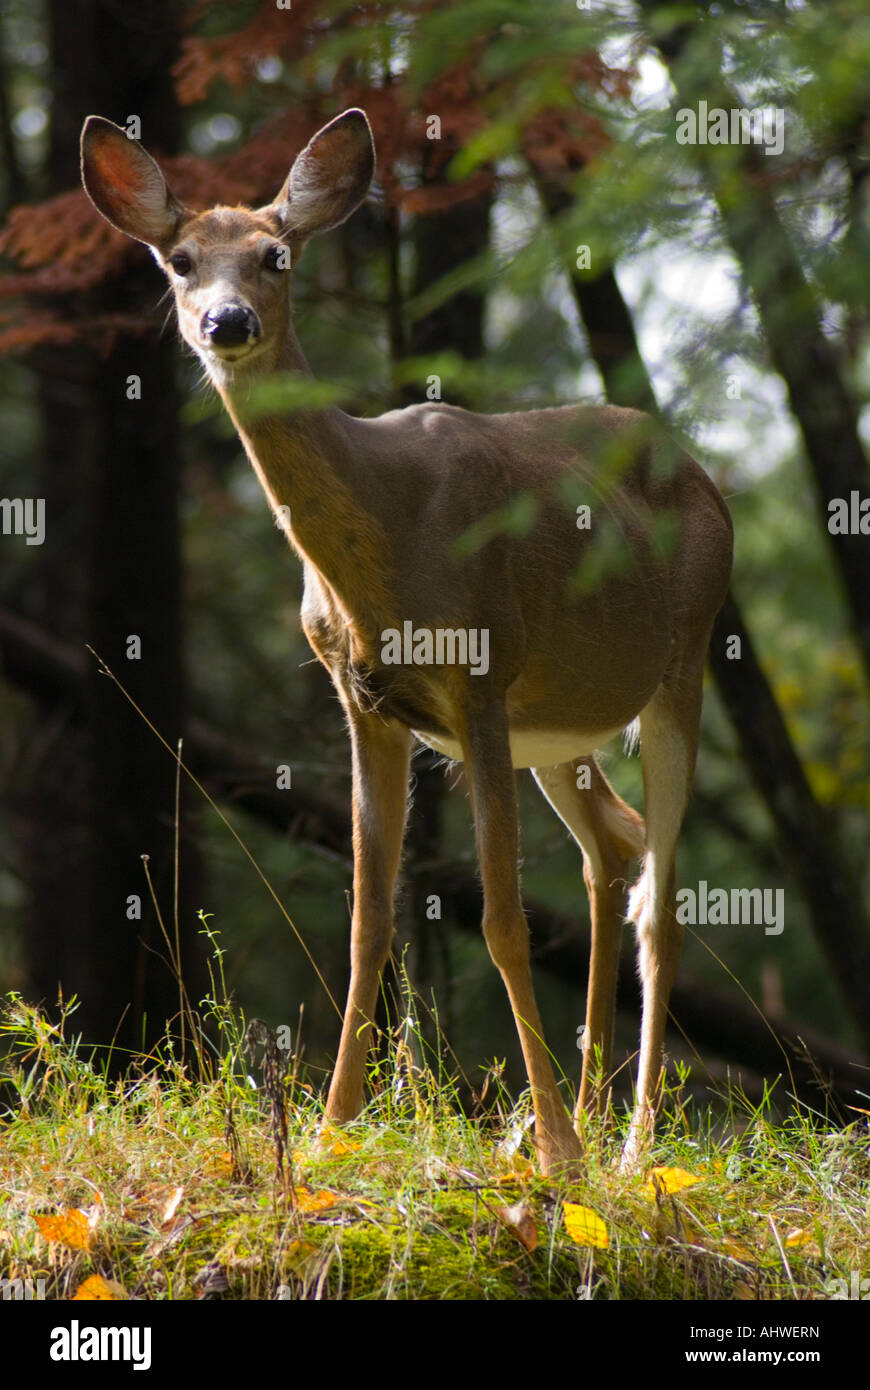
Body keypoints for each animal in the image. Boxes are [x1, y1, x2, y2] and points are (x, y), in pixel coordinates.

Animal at [81, 108, 733, 1174]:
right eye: (179, 262)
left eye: (275, 256)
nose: (228, 323)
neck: (381, 540)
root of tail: (701, 471)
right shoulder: (366, 702)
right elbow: (367, 920)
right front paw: (330, 1134)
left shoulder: (480, 676)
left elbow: (504, 920)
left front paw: (554, 1154)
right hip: (562, 723)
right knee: (613, 848)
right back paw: (598, 1114)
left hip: (682, 660)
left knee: (662, 898)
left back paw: (630, 1147)